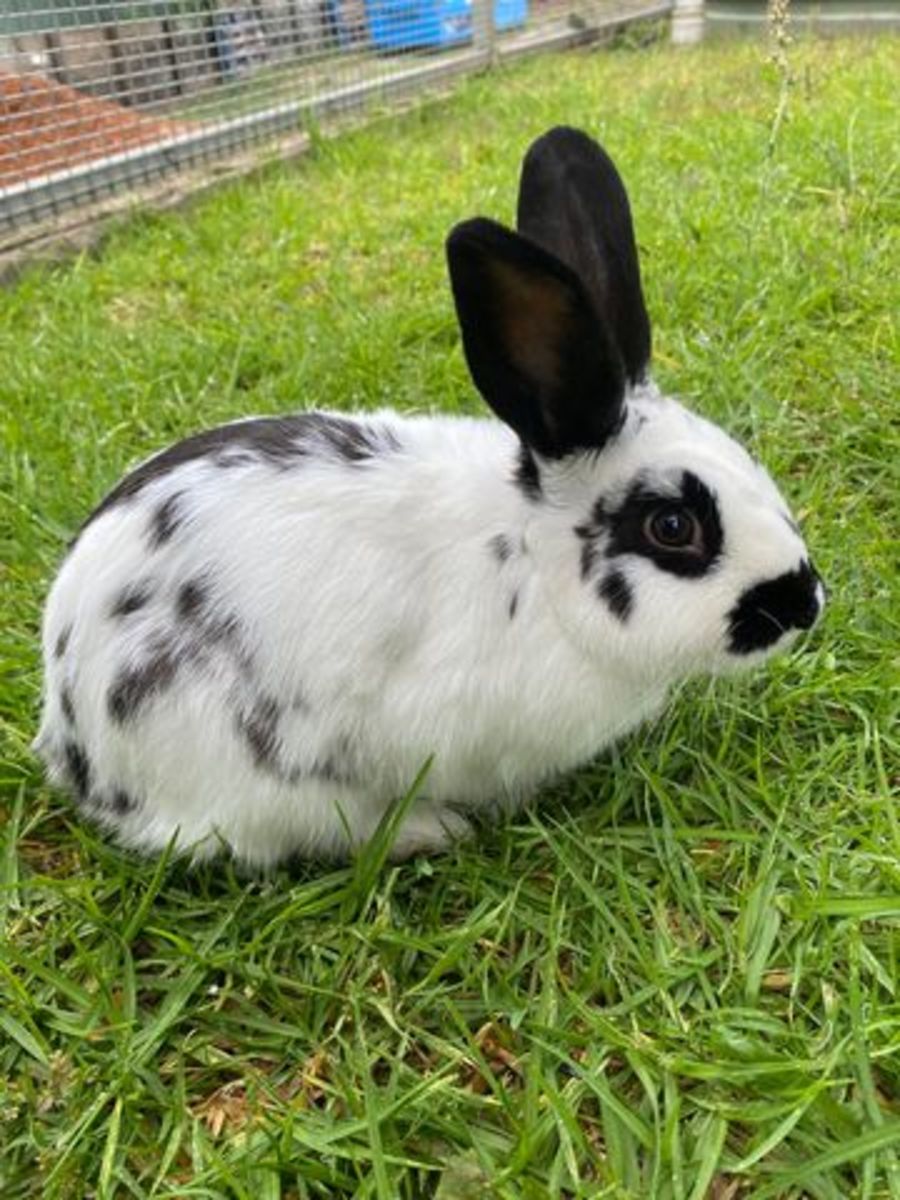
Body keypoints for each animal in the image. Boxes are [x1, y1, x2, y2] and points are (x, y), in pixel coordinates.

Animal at [34, 126, 825, 867]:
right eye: (672, 526)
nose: (805, 602)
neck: (531, 566)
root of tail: (75, 741)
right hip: (249, 774)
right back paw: (429, 830)